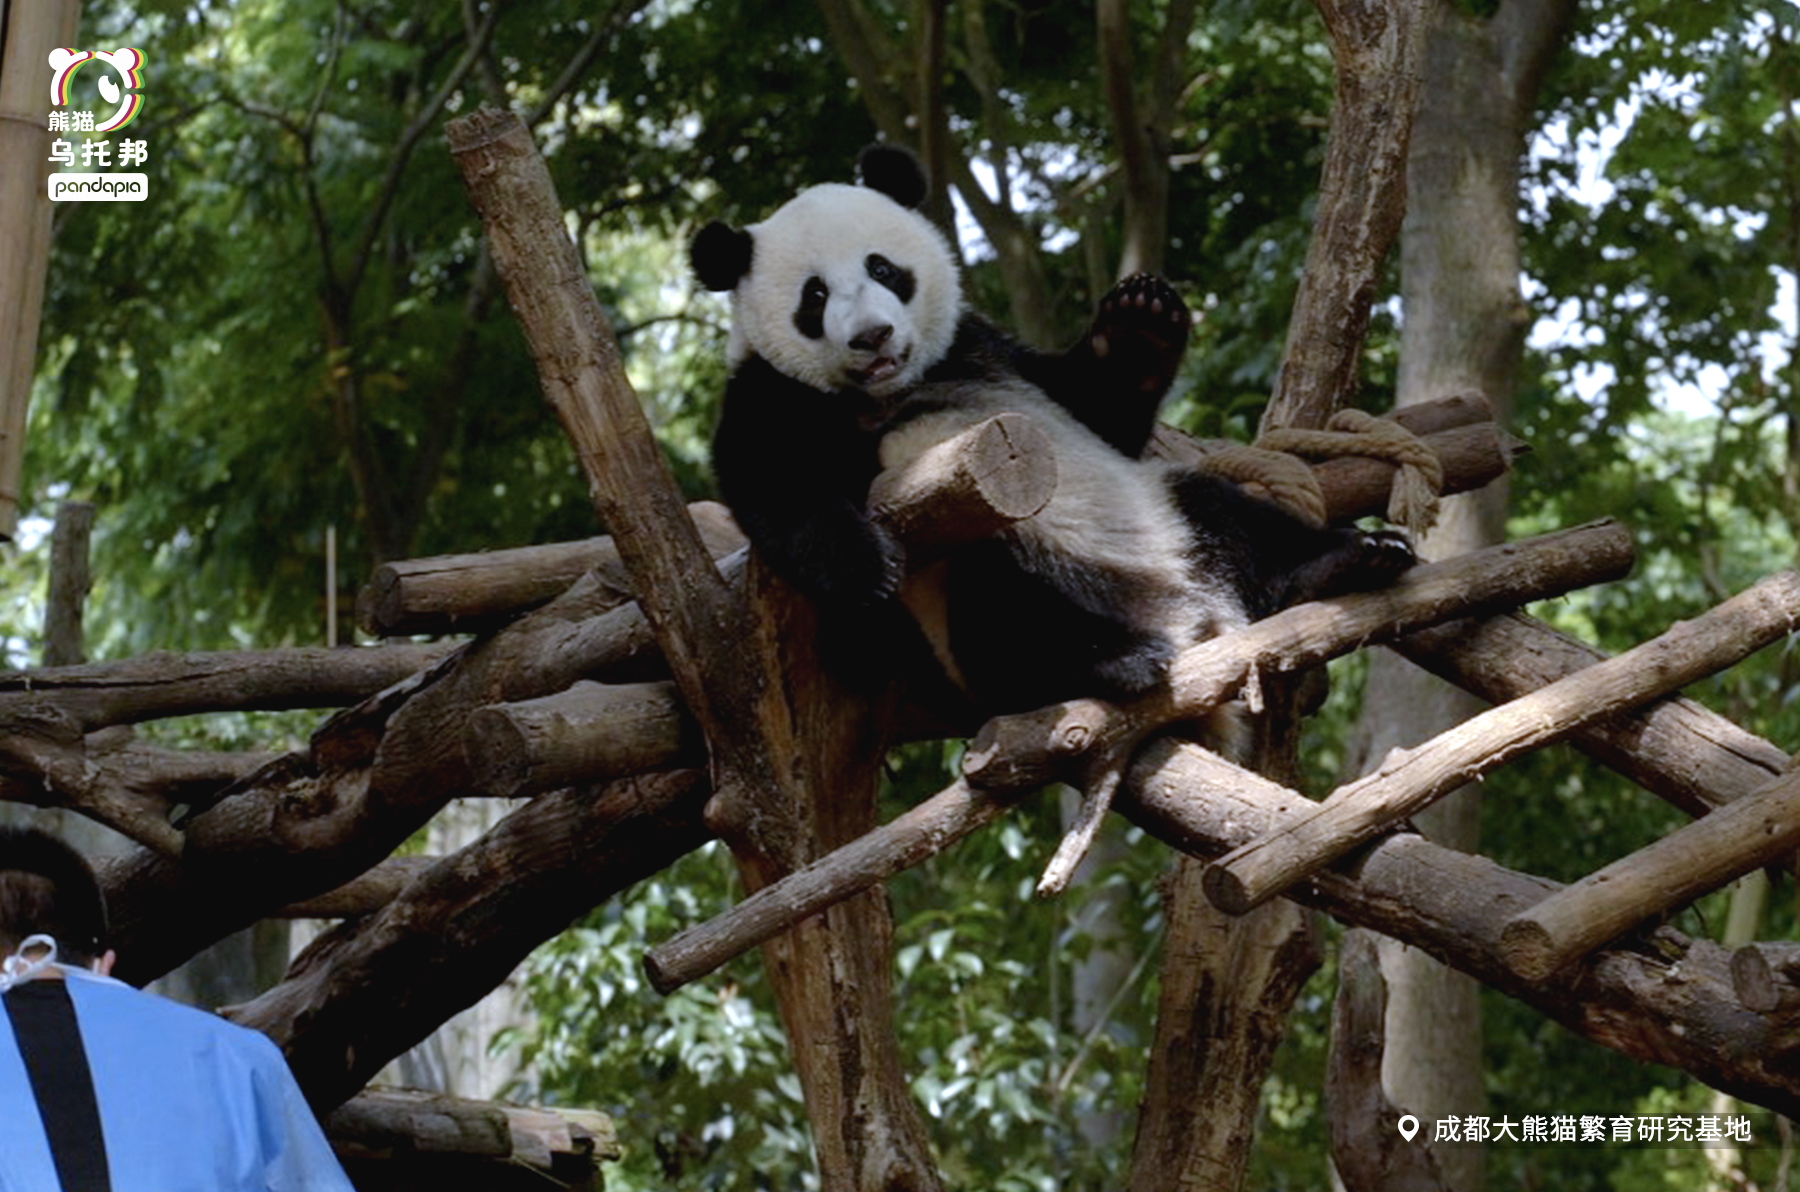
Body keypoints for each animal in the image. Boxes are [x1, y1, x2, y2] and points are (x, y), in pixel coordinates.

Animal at [694, 145, 1413, 718]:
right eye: (814, 298)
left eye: (884, 270)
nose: (872, 337)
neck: (896, 386)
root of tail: (1183, 620)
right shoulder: (775, 392)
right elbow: (773, 479)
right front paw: (865, 569)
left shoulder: (983, 348)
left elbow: (1094, 412)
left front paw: (1141, 322)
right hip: (974, 600)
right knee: (1005, 611)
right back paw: (1114, 659)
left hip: (1170, 522)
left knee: (1224, 513)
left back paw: (1348, 559)